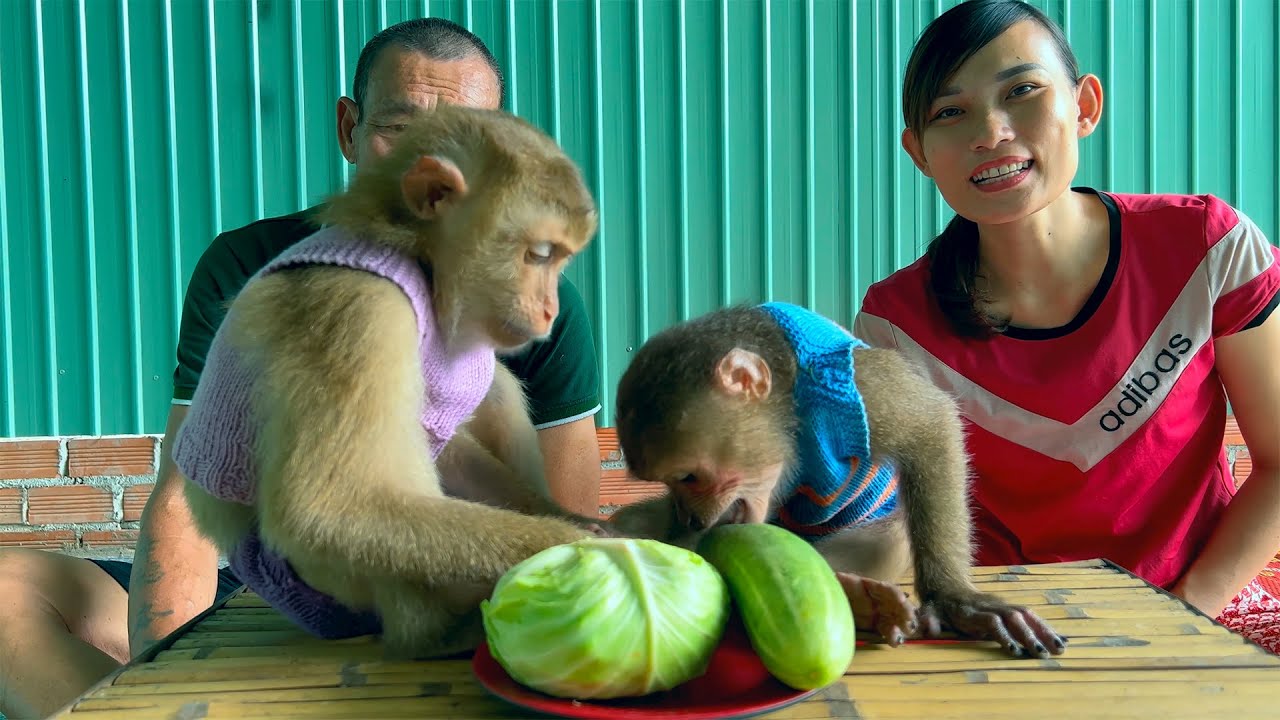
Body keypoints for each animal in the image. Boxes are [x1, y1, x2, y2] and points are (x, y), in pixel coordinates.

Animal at [606, 302, 1068, 659]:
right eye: (670, 484)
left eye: (689, 477)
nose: (689, 518)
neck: (791, 408)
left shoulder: (846, 387)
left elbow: (931, 426)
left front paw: (952, 598)